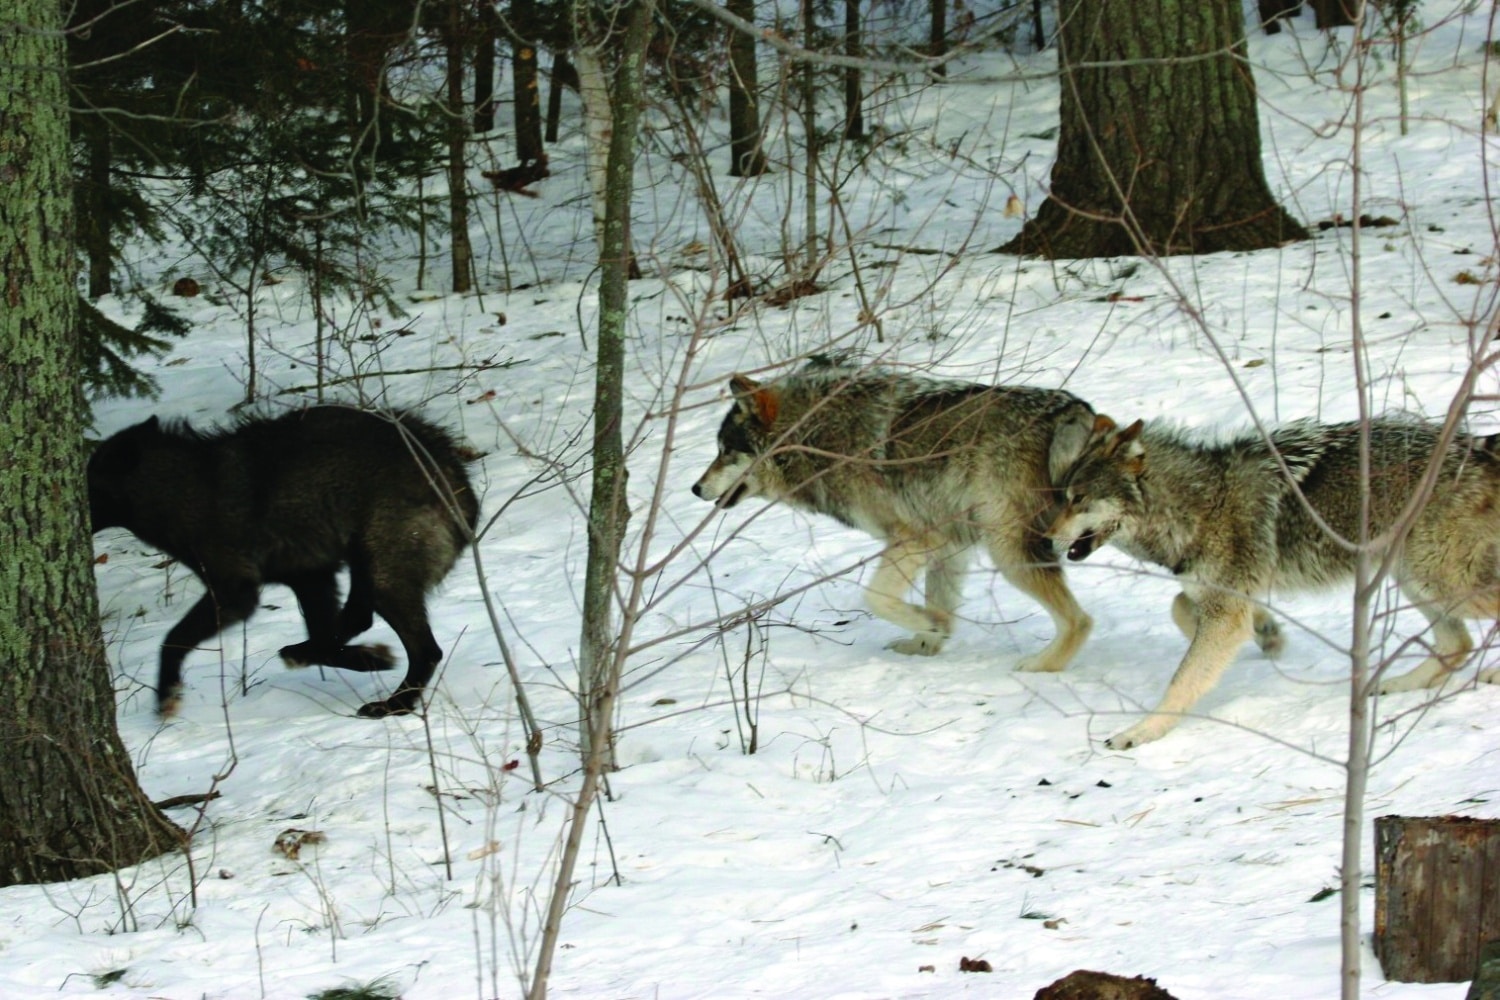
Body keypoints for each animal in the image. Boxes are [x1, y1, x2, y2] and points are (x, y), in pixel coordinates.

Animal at [88, 405, 480, 719]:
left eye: (86, 487)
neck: (182, 490)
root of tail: (454, 473)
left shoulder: (235, 593)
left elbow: (173, 639)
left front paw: (167, 693)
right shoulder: (311, 577)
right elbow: (327, 638)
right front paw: (364, 658)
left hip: (383, 577)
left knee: (426, 651)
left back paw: (394, 705)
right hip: (365, 566)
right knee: (355, 620)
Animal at [692, 361, 1098, 673]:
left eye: (725, 451)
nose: (695, 488)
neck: (816, 437)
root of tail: (1073, 408)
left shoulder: (915, 538)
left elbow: (876, 598)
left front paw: (928, 625)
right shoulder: (949, 544)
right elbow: (939, 609)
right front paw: (926, 644)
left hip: (1007, 551)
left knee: (1080, 621)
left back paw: (1042, 666)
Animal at [1048, 414, 1500, 749]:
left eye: (1077, 499)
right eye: (1062, 496)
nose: (1045, 538)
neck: (1200, 504)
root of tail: (1478, 447)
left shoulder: (1224, 608)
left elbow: (1182, 678)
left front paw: (1140, 733)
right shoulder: (1219, 597)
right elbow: (1181, 610)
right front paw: (1266, 633)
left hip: (1439, 581)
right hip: (1412, 580)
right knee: (1458, 643)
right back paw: (1394, 684)